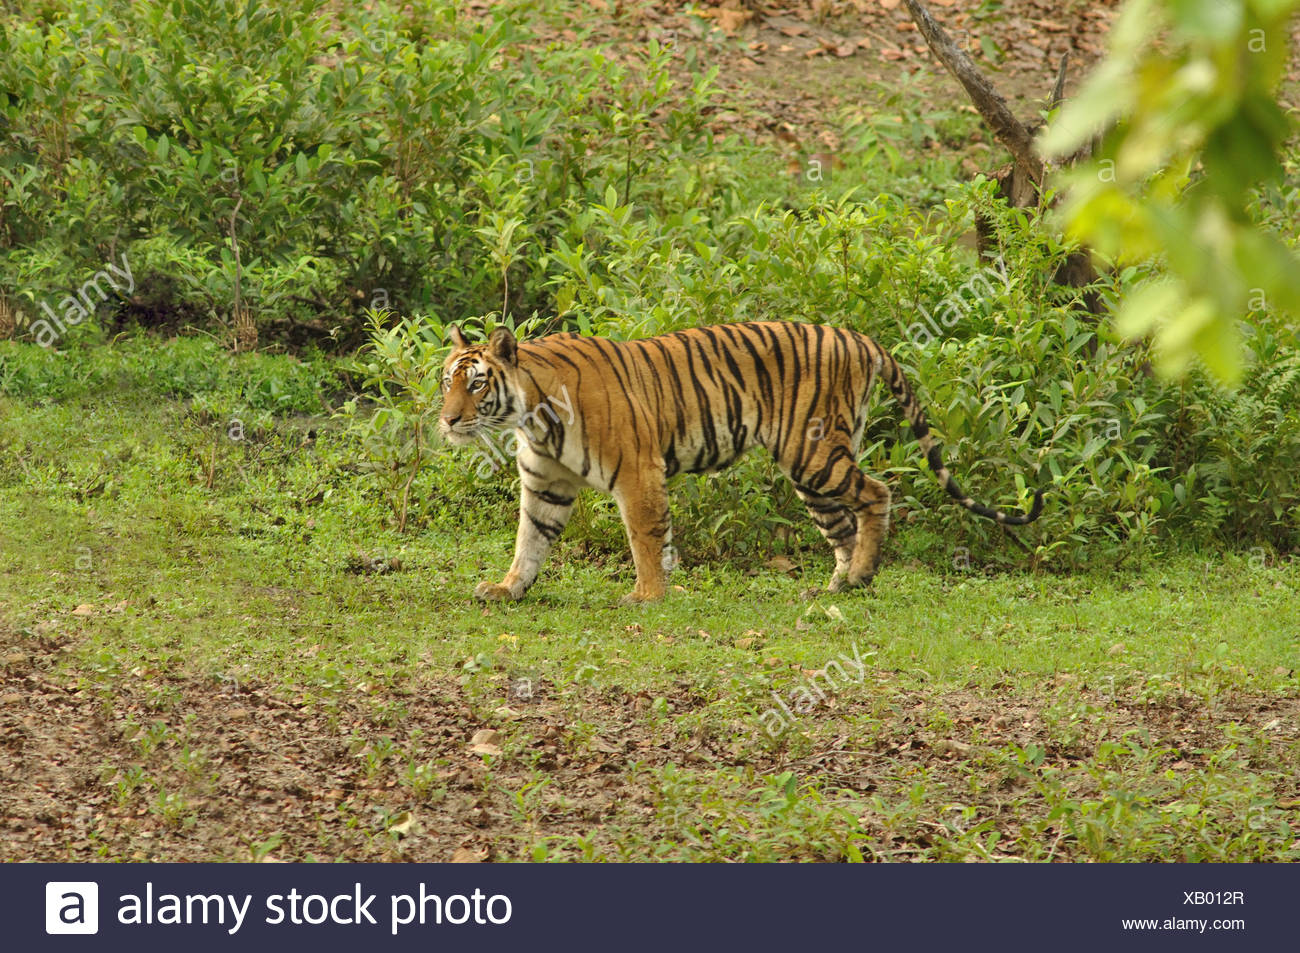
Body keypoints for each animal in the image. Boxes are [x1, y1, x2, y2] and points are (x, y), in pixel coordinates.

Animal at [438, 320, 1044, 603]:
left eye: (476, 384)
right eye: (447, 382)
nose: (446, 420)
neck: (532, 416)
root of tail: (857, 336)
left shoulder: (638, 472)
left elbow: (645, 538)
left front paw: (647, 595)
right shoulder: (547, 485)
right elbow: (530, 541)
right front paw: (508, 588)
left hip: (814, 453)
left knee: (876, 493)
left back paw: (863, 575)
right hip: (811, 474)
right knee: (843, 526)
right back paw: (837, 587)